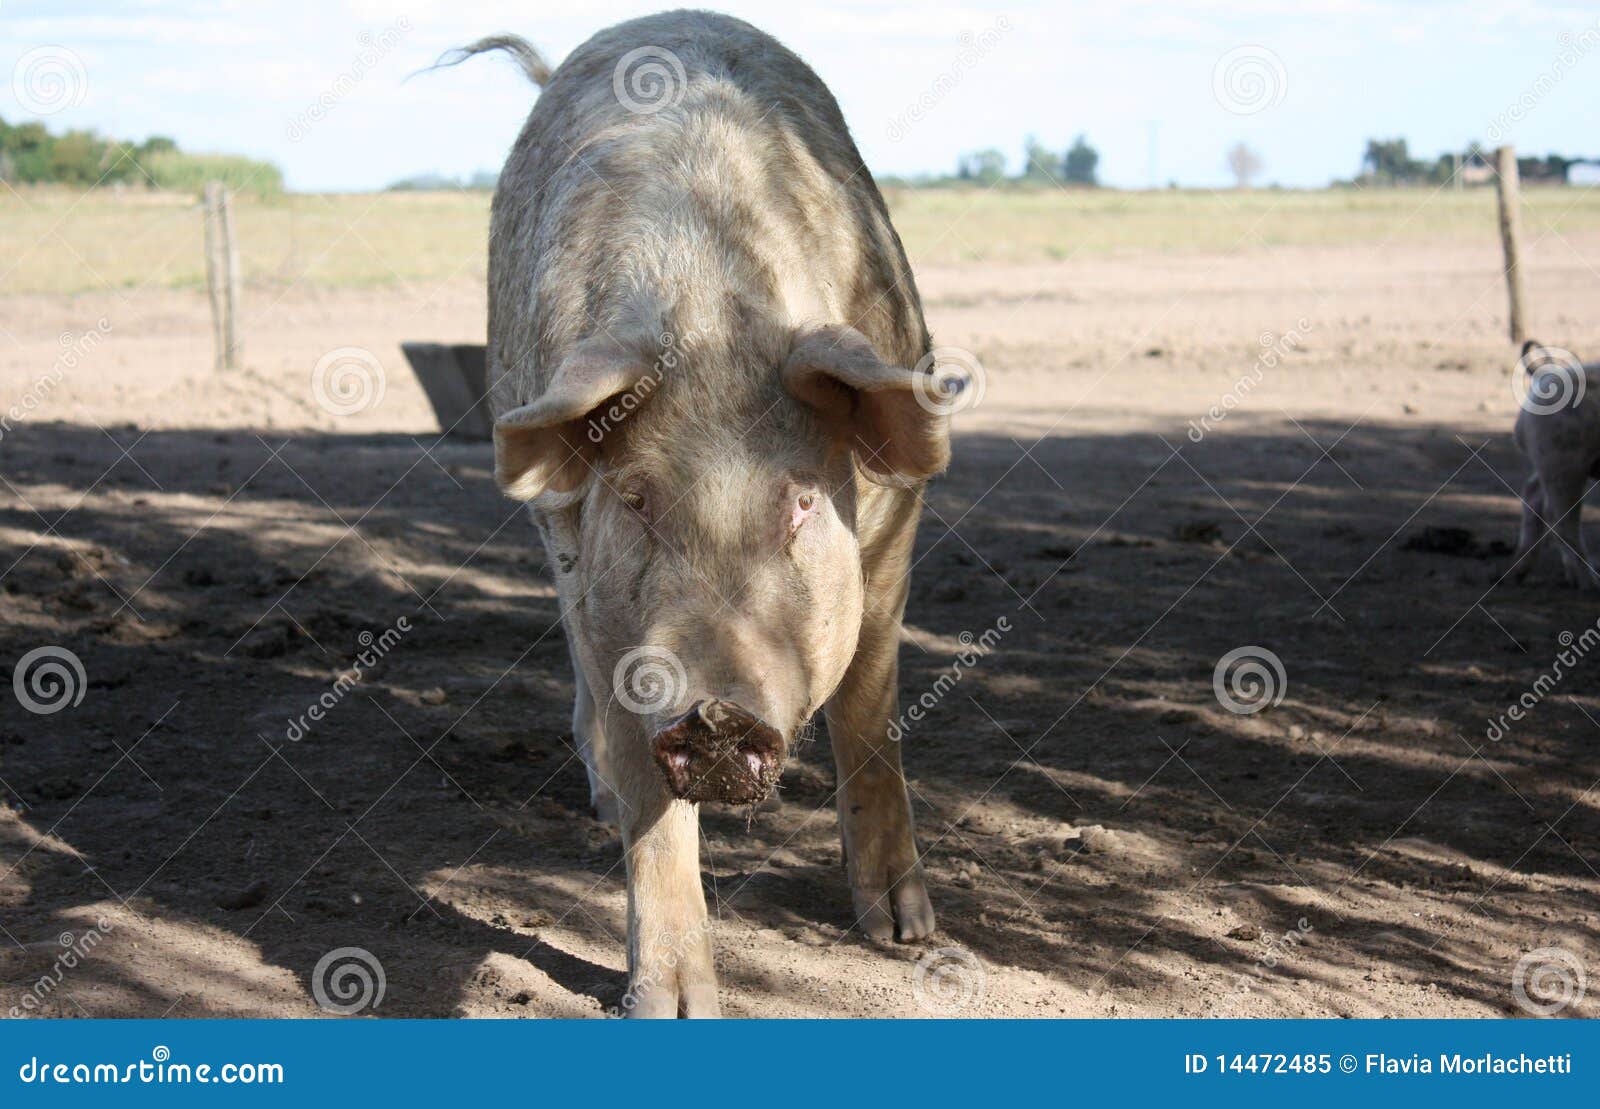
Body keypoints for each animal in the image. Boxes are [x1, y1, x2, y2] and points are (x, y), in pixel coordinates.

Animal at [451, 11, 955, 1016]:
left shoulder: (892, 524)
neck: (710, 311)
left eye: (802, 501)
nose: (716, 710)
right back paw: (603, 799)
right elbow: (649, 791)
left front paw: (904, 933)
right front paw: (673, 1007)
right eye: (637, 497)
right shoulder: (600, 591)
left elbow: (871, 707)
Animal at [1509, 340, 1600, 590]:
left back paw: (1519, 574)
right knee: (1561, 517)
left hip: (1547, 463)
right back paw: (1590, 583)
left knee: (1533, 495)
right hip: (1564, 464)